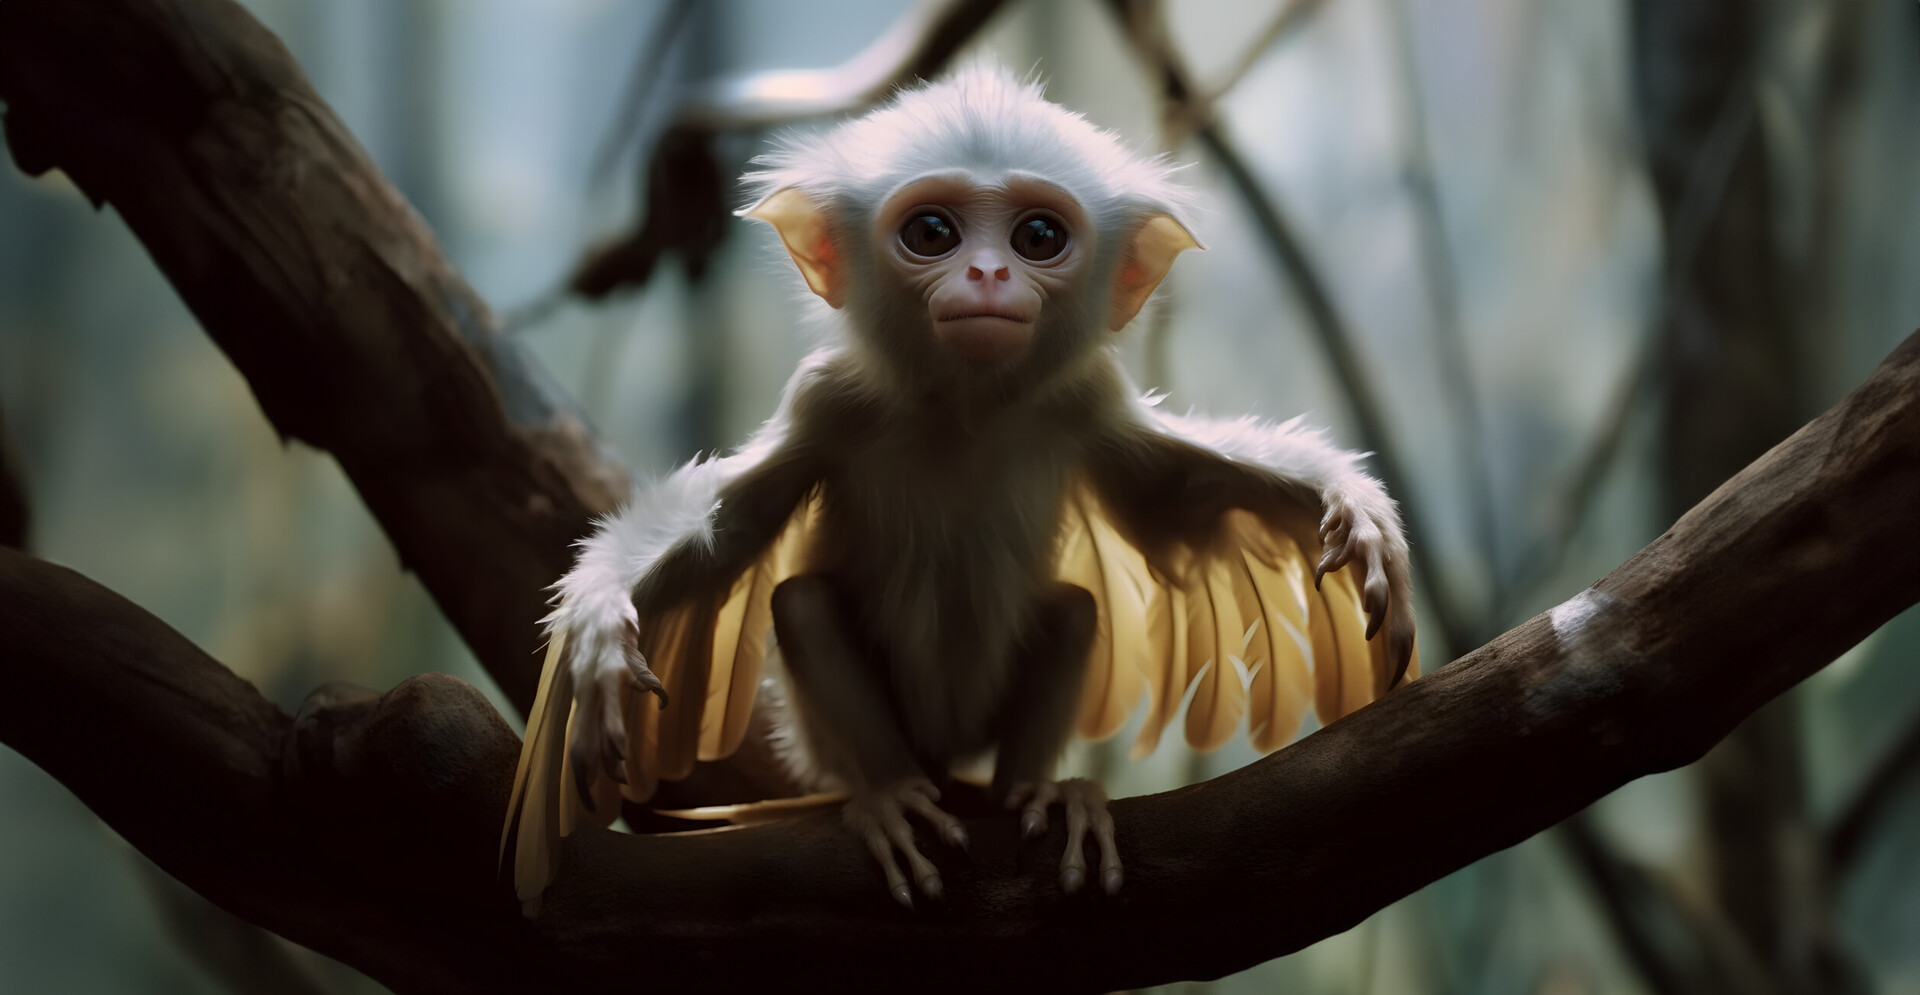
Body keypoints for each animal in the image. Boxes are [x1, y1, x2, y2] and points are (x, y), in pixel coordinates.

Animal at [501, 66, 1418, 913]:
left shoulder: (1084, 400)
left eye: (1038, 236)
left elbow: (1180, 498)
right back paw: (886, 799)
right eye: (933, 231)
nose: (984, 274)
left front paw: (1351, 502)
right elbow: (727, 532)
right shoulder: (826, 398)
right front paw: (598, 625)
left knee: (1074, 609)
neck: (965, 409)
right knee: (804, 603)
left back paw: (1039, 792)